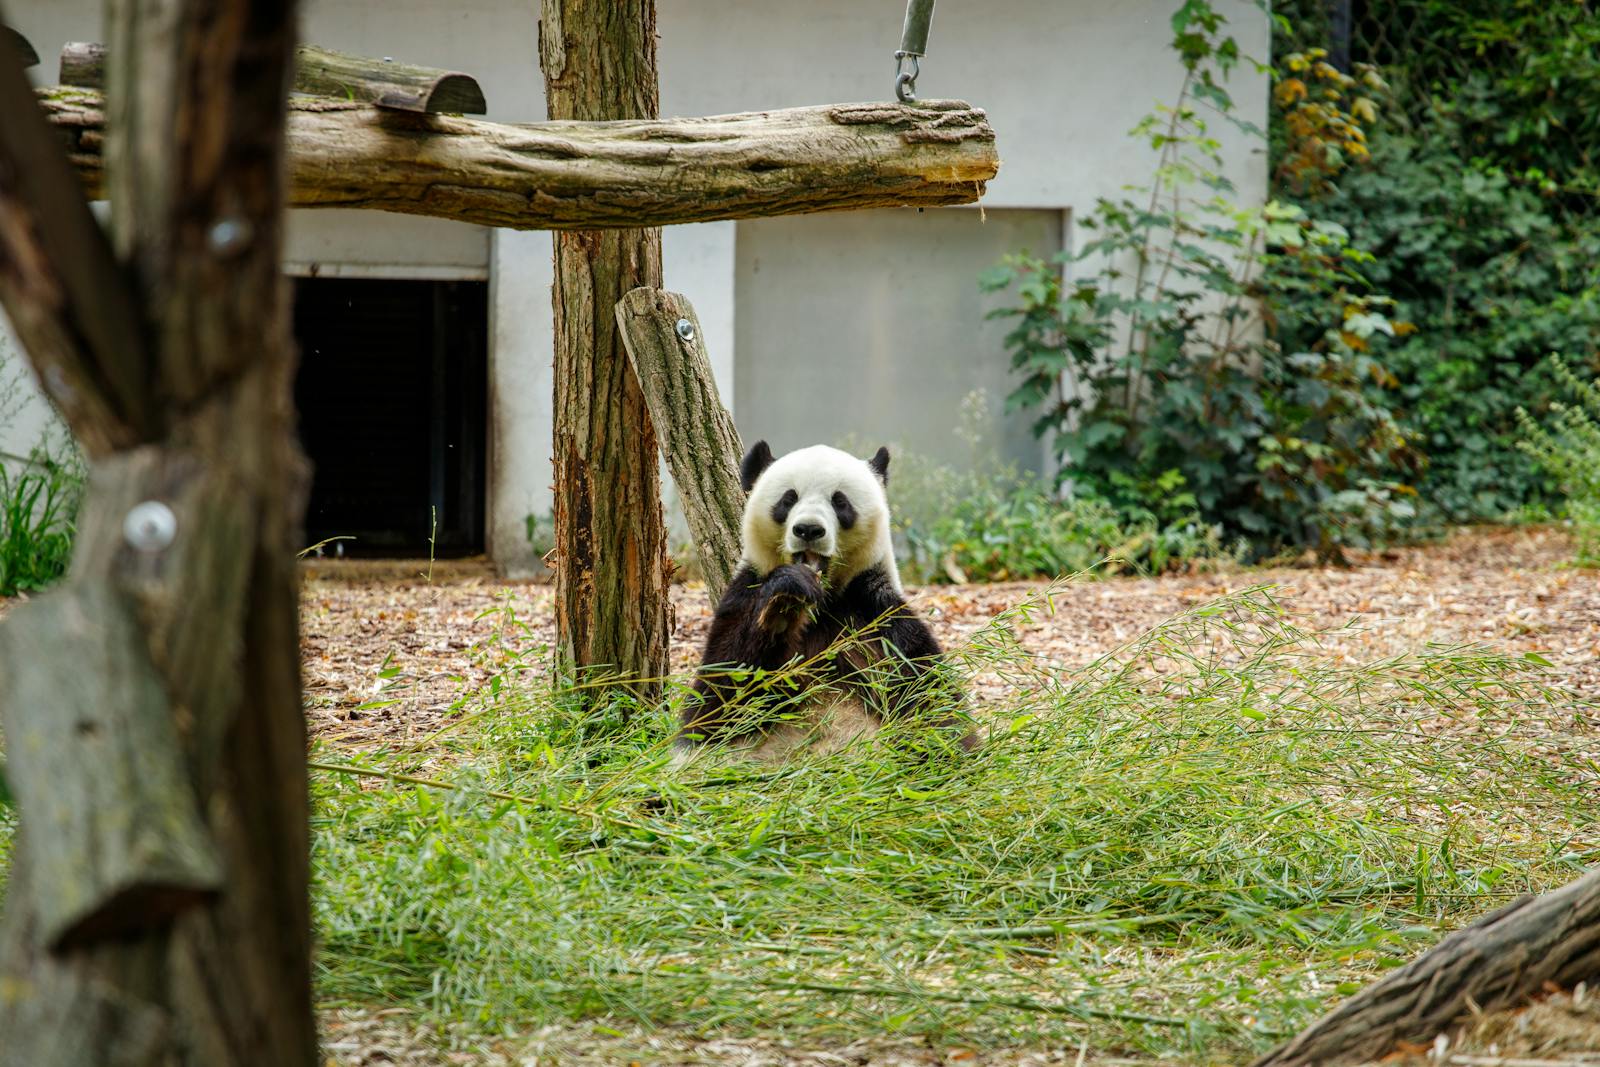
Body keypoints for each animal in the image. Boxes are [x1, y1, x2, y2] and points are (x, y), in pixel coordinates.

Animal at [675, 439, 978, 762]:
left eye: (840, 502)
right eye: (788, 499)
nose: (808, 529)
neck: (822, 601)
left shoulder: (876, 616)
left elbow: (930, 698)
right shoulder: (744, 592)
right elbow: (721, 699)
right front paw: (783, 602)